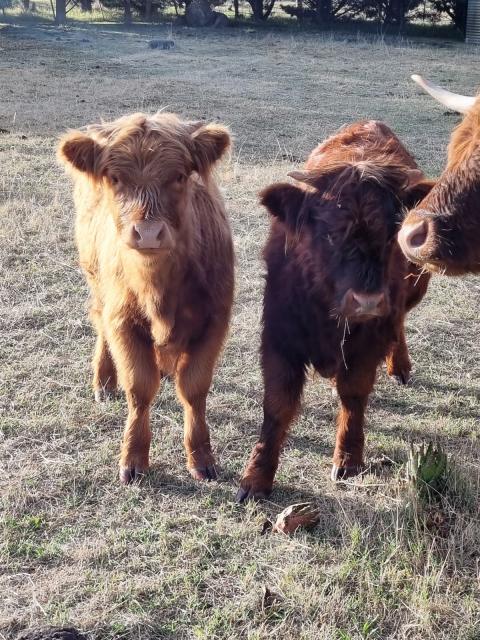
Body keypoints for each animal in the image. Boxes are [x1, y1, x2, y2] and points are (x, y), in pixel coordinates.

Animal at [58, 112, 234, 484]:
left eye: (179, 175)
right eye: (114, 177)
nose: (149, 234)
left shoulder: (214, 320)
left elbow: (194, 388)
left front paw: (201, 458)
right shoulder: (123, 321)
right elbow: (139, 388)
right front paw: (134, 459)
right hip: (96, 282)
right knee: (99, 324)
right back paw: (104, 381)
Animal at [236, 120, 433, 502]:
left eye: (392, 234)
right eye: (328, 234)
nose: (367, 300)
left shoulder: (369, 340)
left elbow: (353, 394)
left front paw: (348, 459)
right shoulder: (280, 339)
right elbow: (277, 406)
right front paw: (256, 477)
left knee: (400, 321)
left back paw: (399, 365)